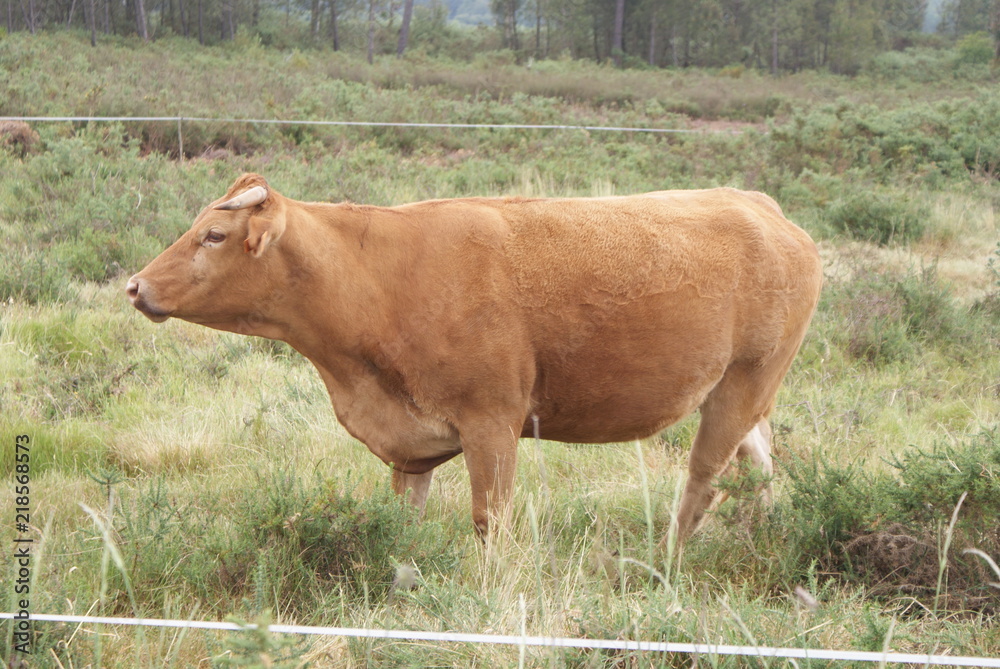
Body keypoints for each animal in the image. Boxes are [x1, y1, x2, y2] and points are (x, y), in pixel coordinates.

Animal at [127, 173, 822, 544]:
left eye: (214, 235)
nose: (135, 286)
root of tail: (759, 204)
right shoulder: (410, 446)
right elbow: (403, 521)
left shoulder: (493, 424)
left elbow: (490, 521)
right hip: (745, 397)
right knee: (759, 467)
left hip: (741, 385)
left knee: (704, 478)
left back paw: (669, 561)